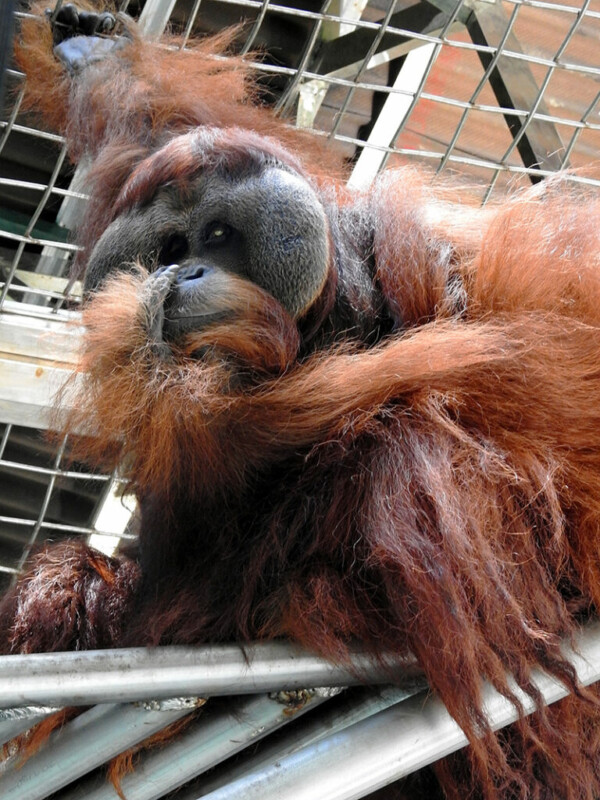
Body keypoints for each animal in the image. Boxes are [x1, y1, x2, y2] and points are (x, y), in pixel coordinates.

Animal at [4, 7, 600, 800]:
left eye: (220, 236)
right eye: (170, 247)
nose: (184, 274)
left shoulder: (438, 255)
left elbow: (519, 386)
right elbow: (155, 127)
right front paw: (92, 53)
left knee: (405, 453)